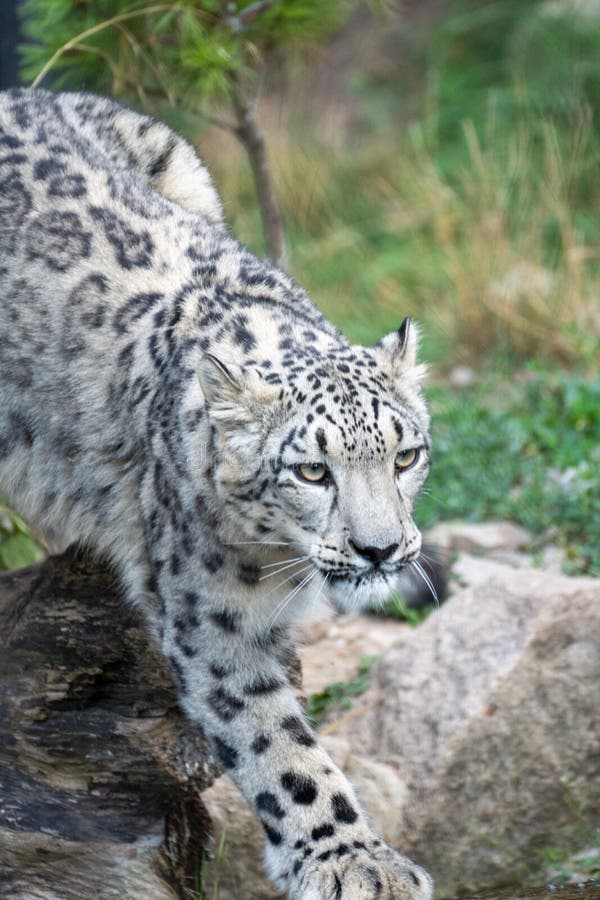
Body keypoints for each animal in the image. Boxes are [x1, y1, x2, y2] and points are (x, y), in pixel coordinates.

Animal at [0, 87, 435, 900]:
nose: (379, 548)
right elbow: (281, 750)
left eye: (406, 455)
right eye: (312, 472)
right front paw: (352, 860)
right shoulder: (215, 618)